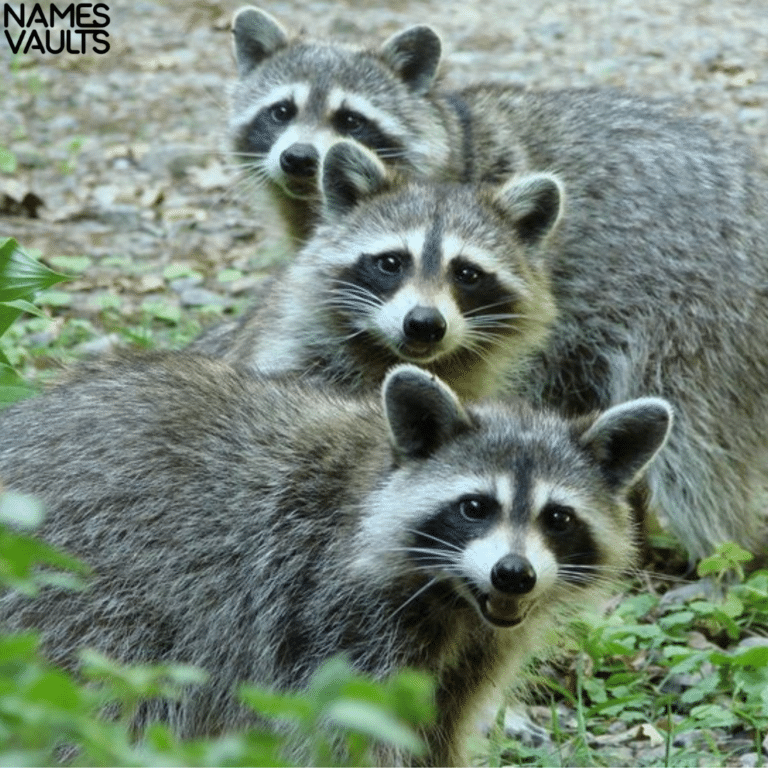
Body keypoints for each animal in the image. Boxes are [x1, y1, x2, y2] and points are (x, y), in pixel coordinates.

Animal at [0, 351, 672, 765]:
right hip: (85, 603)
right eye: (475, 507)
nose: (514, 574)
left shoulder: (474, 652)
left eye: (557, 518)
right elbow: (348, 735)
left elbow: (439, 731)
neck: (453, 598)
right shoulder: (330, 613)